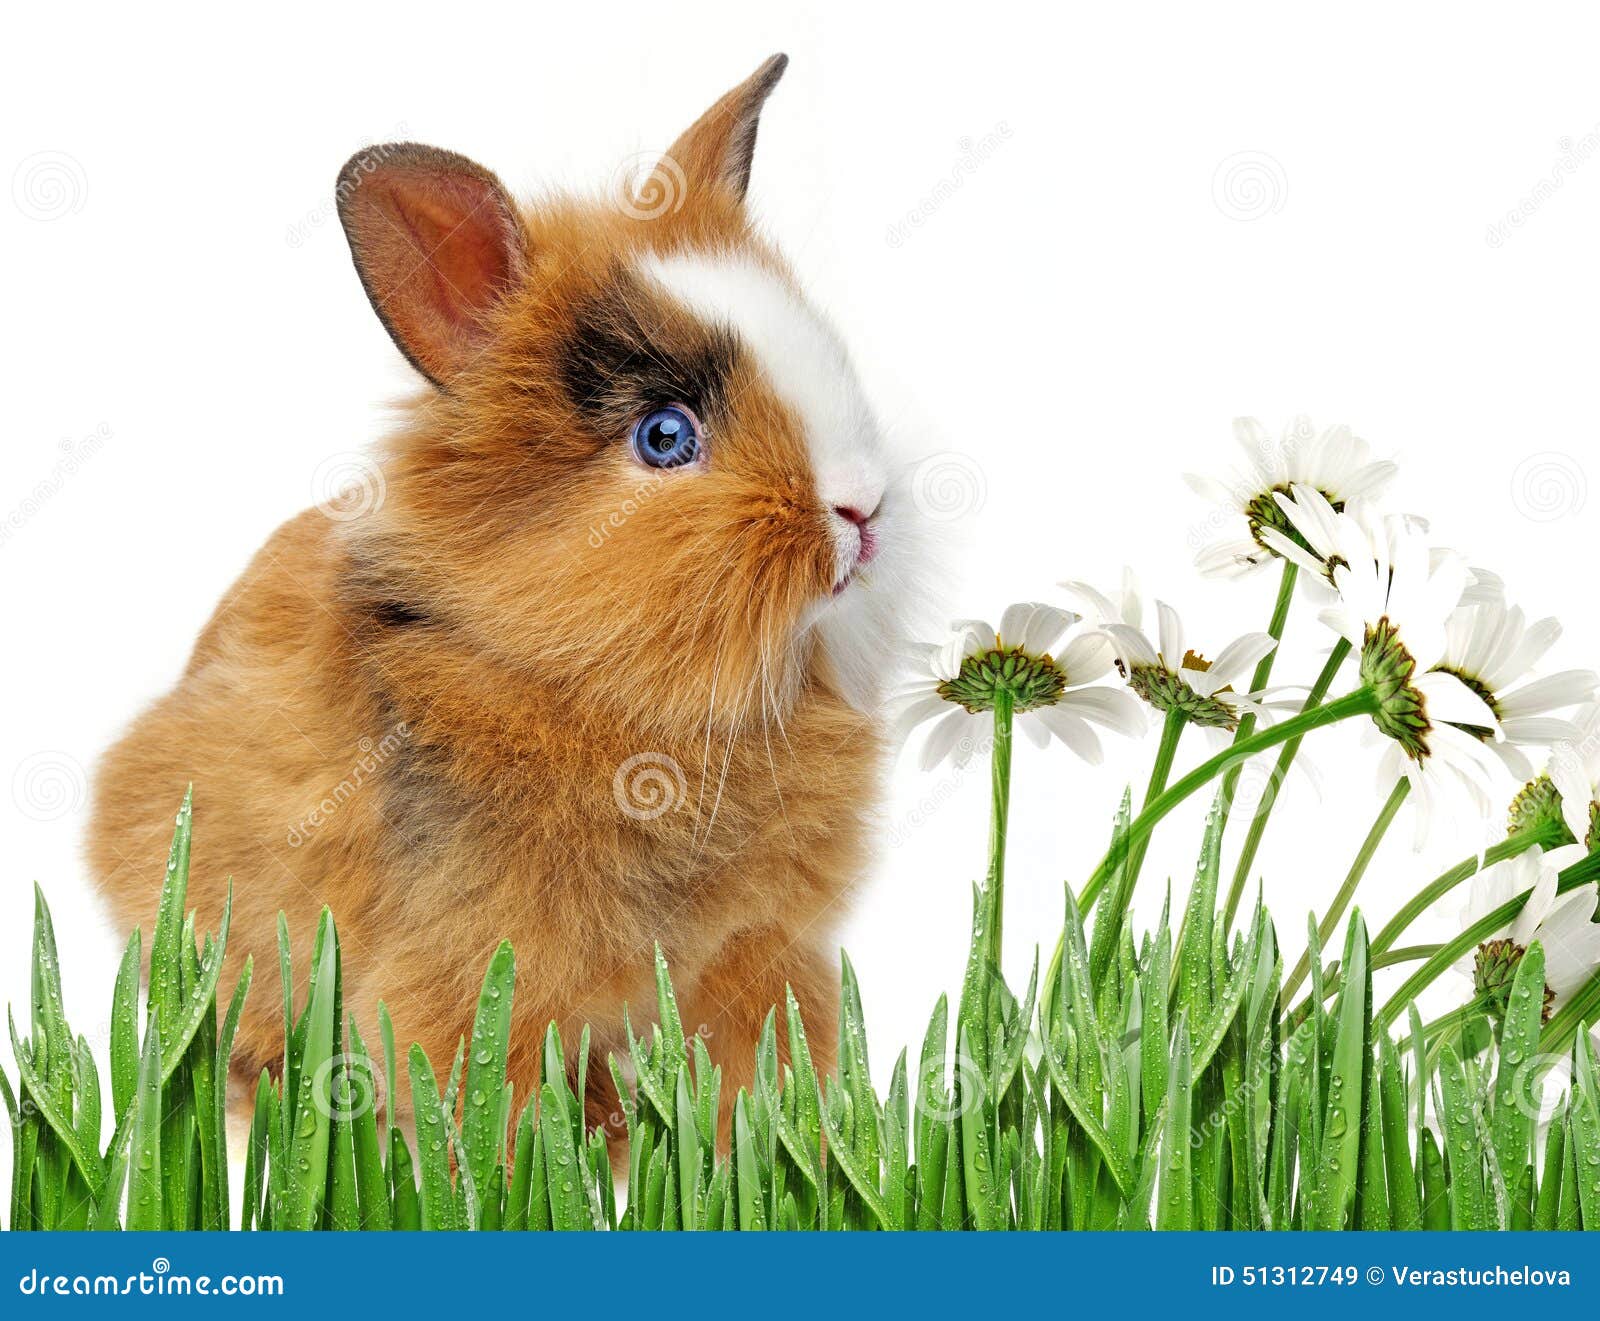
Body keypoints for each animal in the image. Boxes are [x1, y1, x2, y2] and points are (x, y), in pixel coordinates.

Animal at [87, 53, 921, 1142]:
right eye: (664, 436)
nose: (863, 506)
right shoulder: (472, 972)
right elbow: (485, 1108)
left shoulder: (763, 952)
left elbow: (768, 1073)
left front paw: (787, 1150)